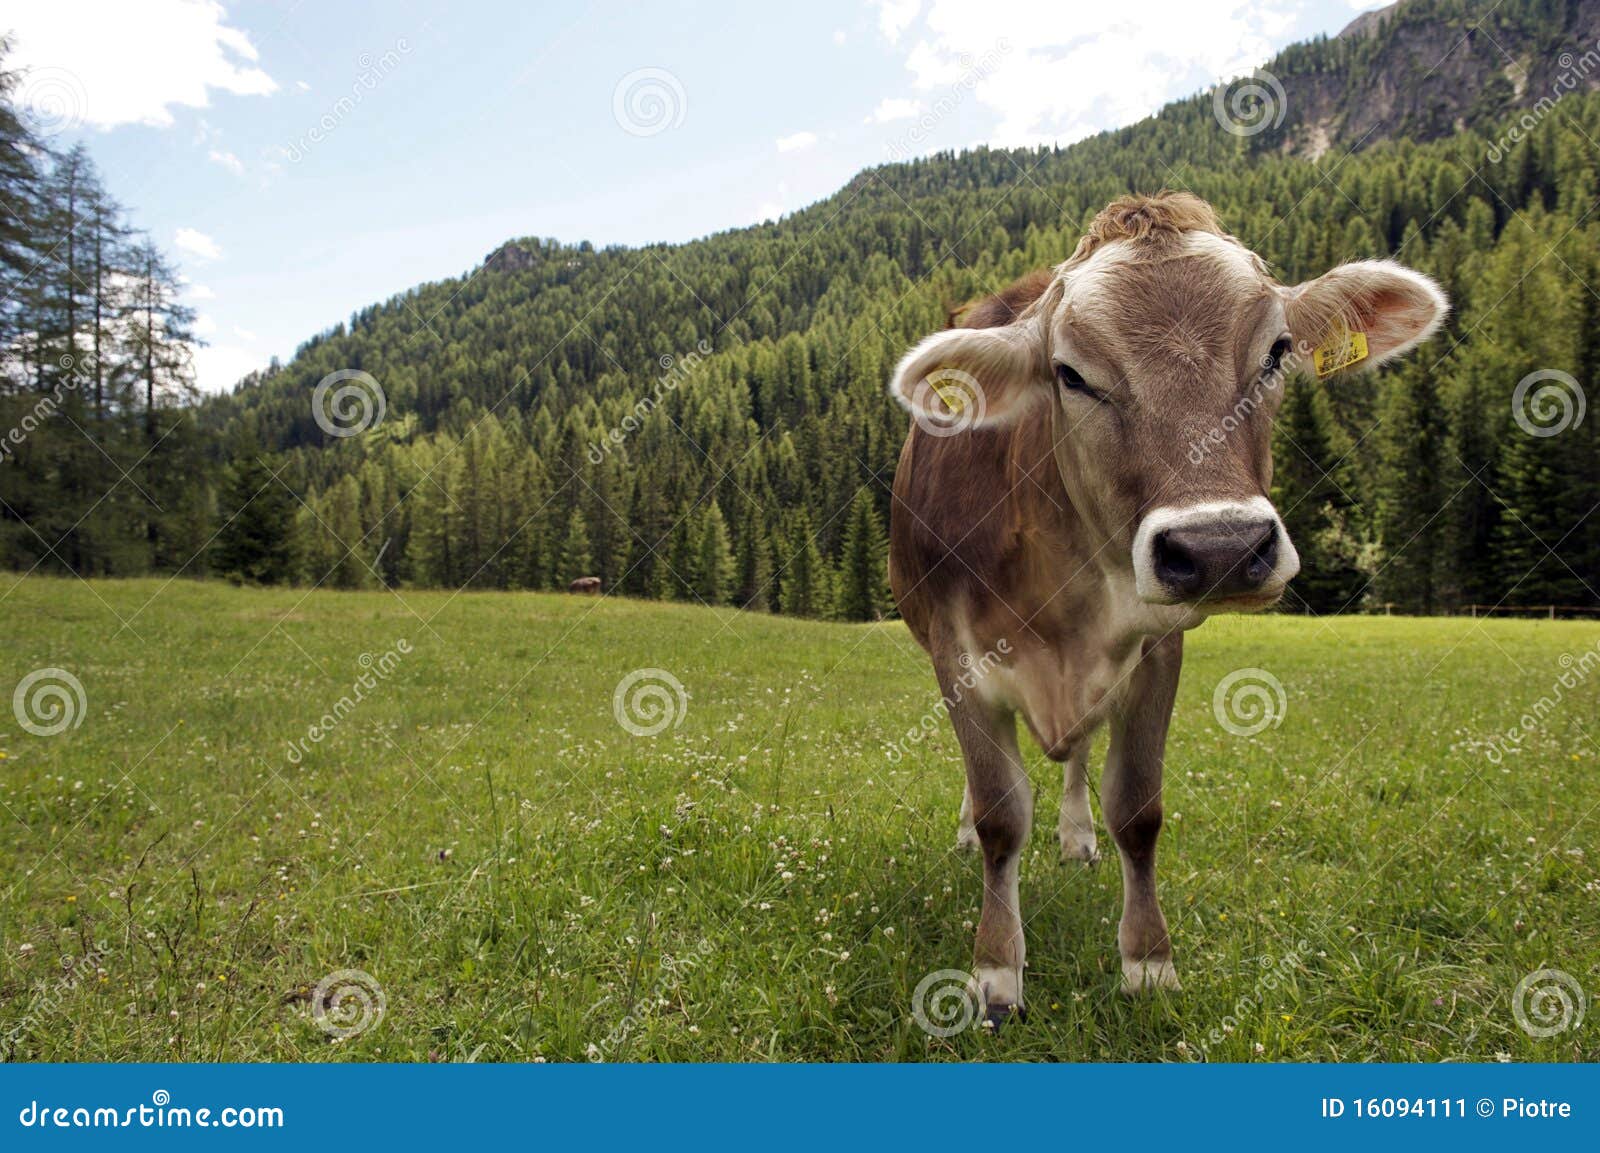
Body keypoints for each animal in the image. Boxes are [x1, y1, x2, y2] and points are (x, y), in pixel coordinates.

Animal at [888, 192, 1447, 1027]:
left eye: (1278, 350)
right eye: (1070, 374)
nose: (1220, 546)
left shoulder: (1156, 652)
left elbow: (1137, 808)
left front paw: (1148, 961)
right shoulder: (957, 655)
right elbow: (999, 813)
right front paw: (995, 972)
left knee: (1078, 755)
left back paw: (1077, 837)